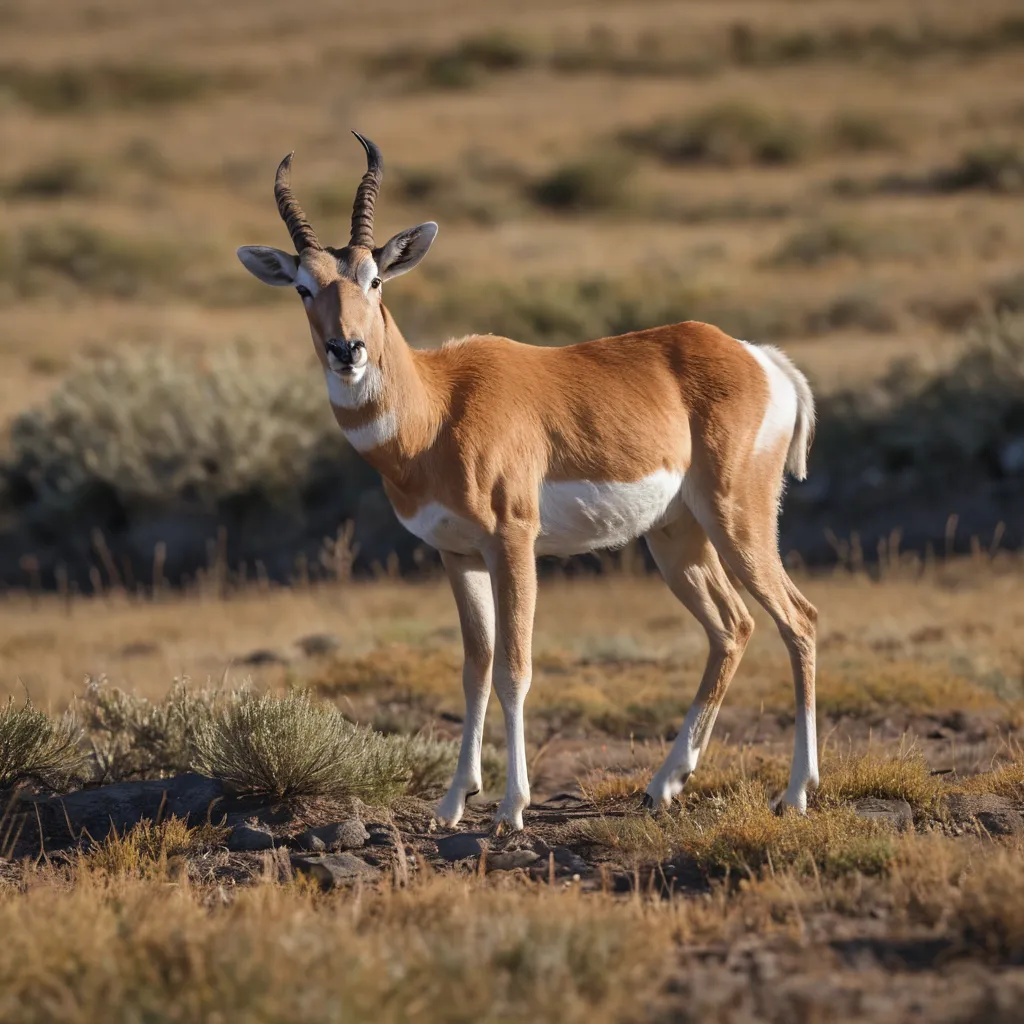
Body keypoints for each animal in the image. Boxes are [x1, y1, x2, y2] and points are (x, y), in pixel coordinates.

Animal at [237, 133, 819, 830]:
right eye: (303, 287)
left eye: (374, 279)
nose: (346, 350)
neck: (437, 408)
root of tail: (762, 360)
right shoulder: (457, 553)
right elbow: (475, 667)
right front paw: (453, 802)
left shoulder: (512, 543)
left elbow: (515, 667)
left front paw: (511, 805)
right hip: (677, 537)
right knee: (733, 628)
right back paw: (663, 785)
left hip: (738, 520)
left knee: (800, 620)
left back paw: (794, 793)